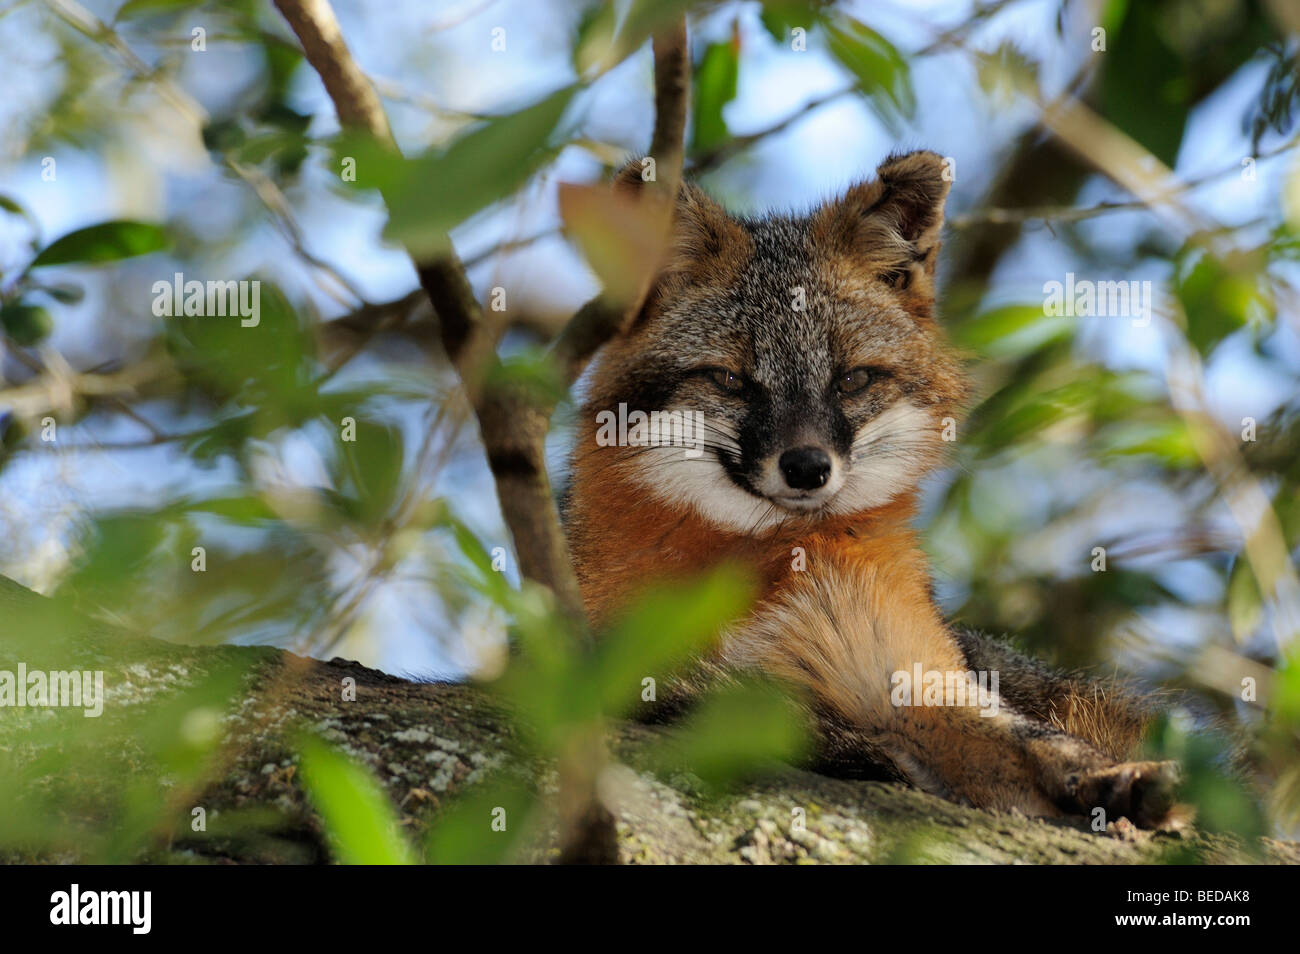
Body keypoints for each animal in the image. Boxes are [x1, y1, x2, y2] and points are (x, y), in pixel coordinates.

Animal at [562, 150, 1184, 829]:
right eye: (731, 381)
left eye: (853, 380)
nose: (808, 468)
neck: (764, 561)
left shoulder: (909, 678)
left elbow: (1033, 740)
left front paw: (1112, 778)